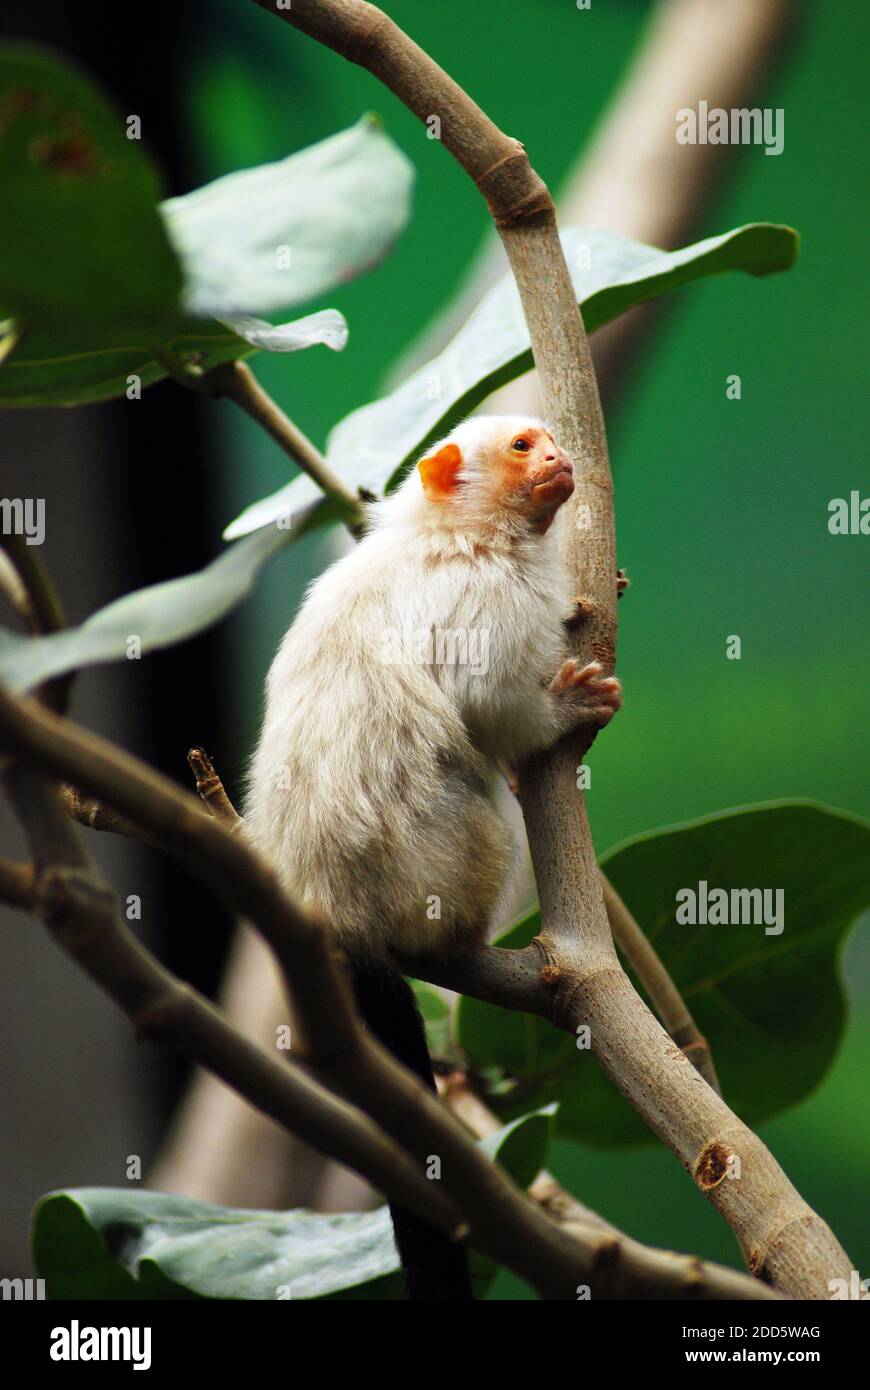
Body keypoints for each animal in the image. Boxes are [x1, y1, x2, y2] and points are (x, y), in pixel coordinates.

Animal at [245, 415, 622, 1299]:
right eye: (522, 448)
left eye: (549, 440)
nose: (560, 458)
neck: (465, 534)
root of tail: (336, 911)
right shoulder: (483, 599)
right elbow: (489, 701)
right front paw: (562, 711)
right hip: (443, 867)